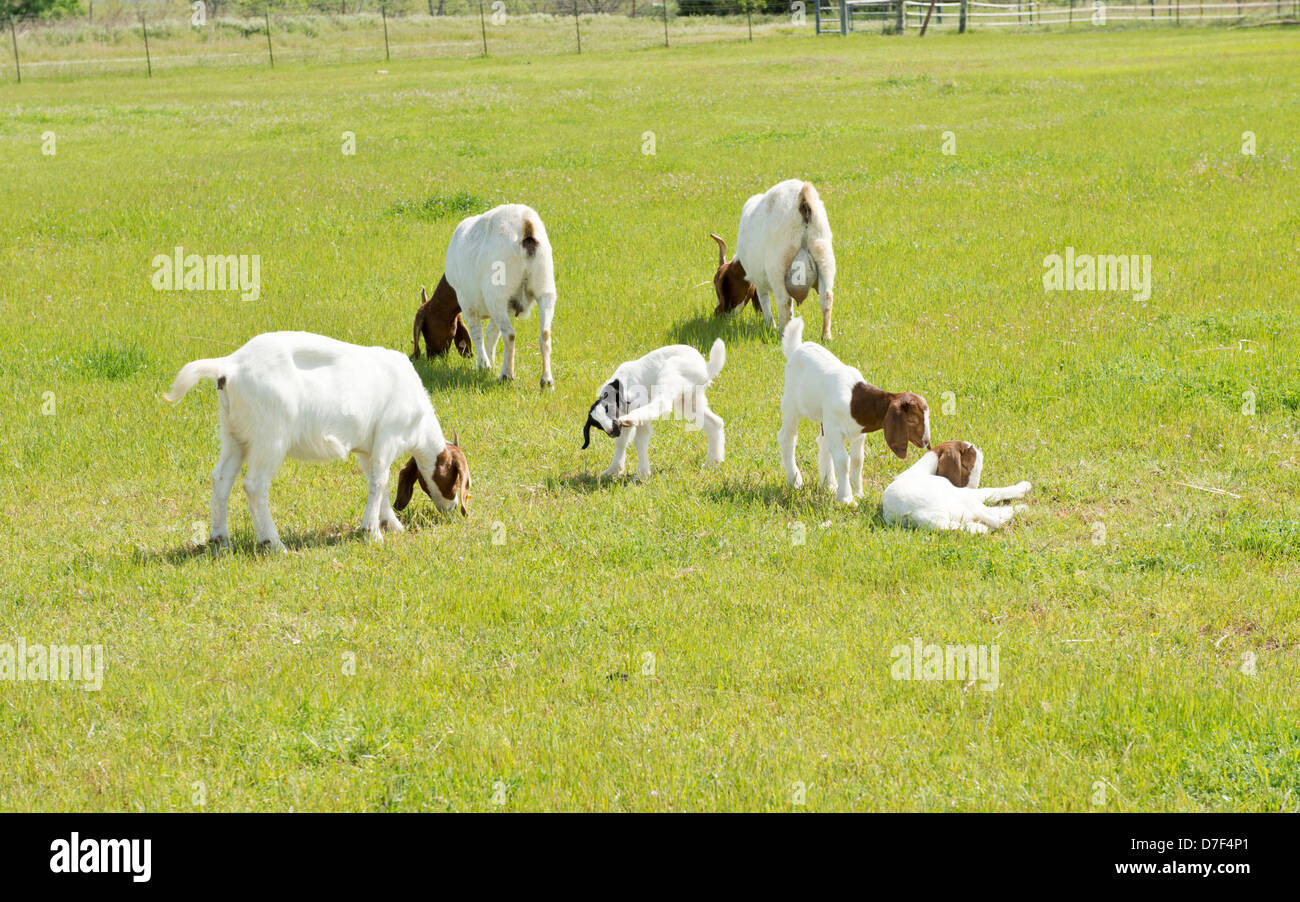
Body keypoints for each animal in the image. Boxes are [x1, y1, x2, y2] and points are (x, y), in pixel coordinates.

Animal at [163, 331, 469, 551]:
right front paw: (372, 532)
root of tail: (230, 365)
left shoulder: (367, 449)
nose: (454, 509)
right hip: (270, 438)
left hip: (233, 435)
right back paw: (274, 543)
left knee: (221, 479)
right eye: (457, 480)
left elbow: (377, 481)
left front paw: (391, 524)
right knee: (254, 486)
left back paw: (220, 539)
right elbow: (380, 481)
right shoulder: (388, 436)